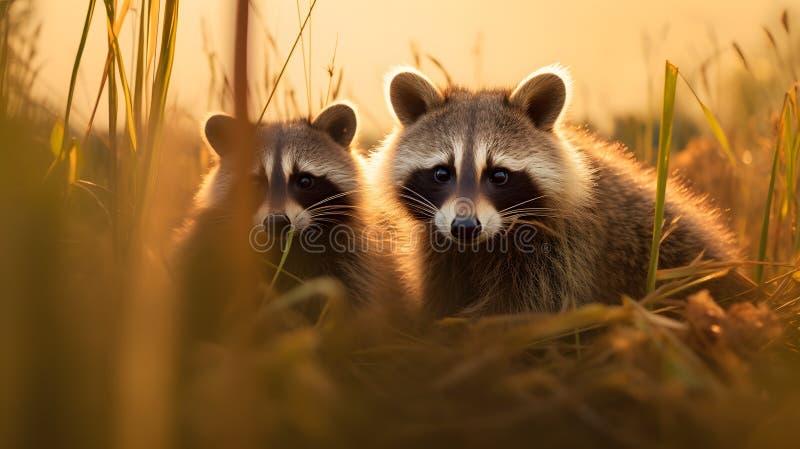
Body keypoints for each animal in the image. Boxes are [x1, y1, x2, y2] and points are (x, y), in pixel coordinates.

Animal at [371, 66, 752, 317]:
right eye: (441, 173)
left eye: (499, 175)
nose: (465, 228)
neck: (482, 245)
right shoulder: (438, 243)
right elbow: (441, 294)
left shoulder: (563, 247)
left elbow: (526, 310)